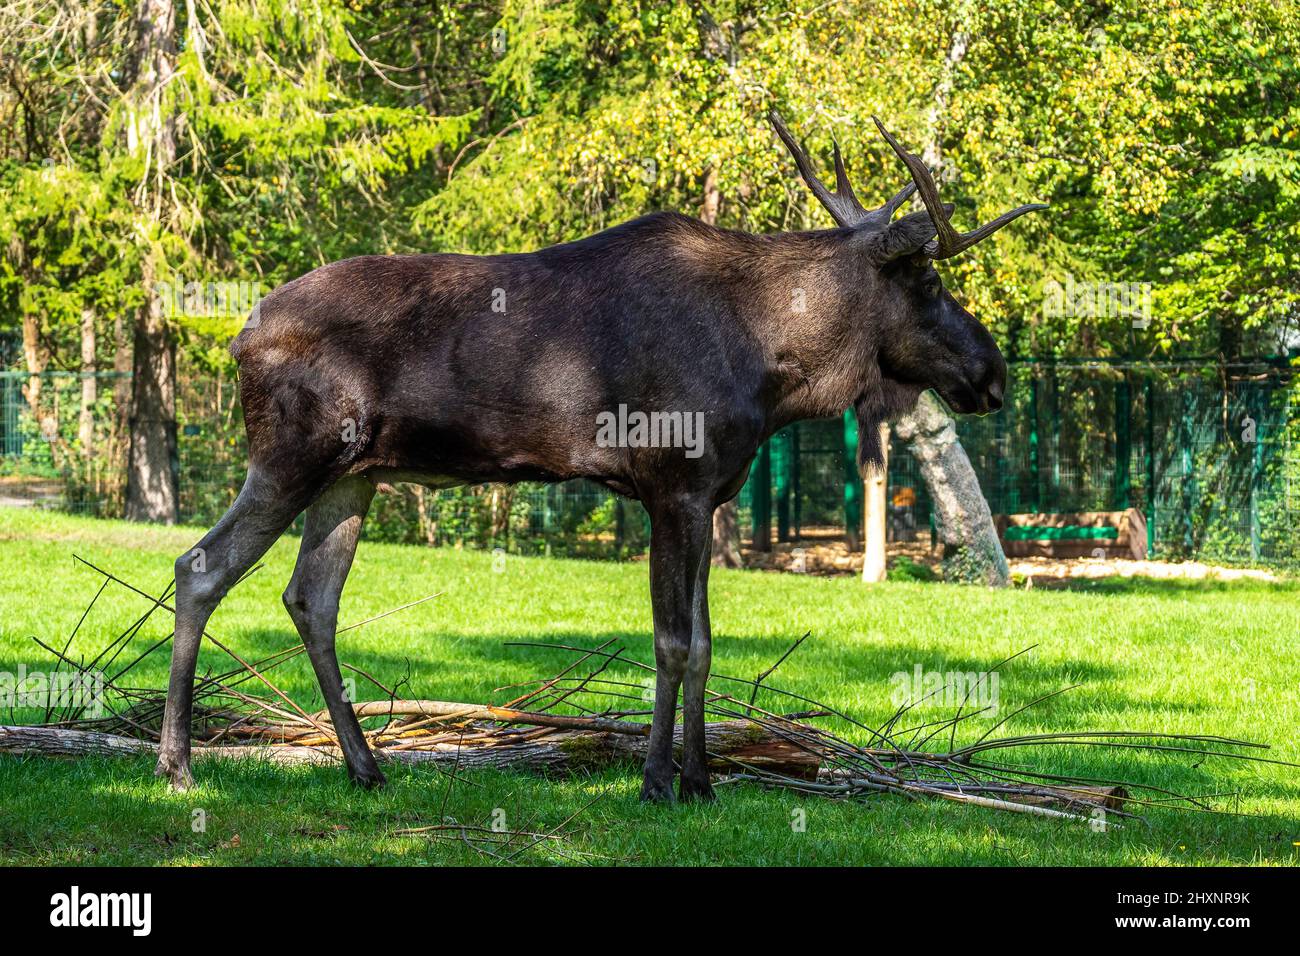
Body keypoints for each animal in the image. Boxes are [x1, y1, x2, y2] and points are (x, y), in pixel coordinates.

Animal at [155, 112, 1045, 802]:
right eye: (927, 283)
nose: (993, 374)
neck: (776, 371)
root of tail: (239, 335)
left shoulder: (710, 497)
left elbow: (706, 645)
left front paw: (702, 781)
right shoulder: (673, 487)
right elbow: (674, 642)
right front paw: (655, 782)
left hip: (355, 478)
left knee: (311, 598)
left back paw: (366, 767)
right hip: (291, 456)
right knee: (200, 567)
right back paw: (180, 764)